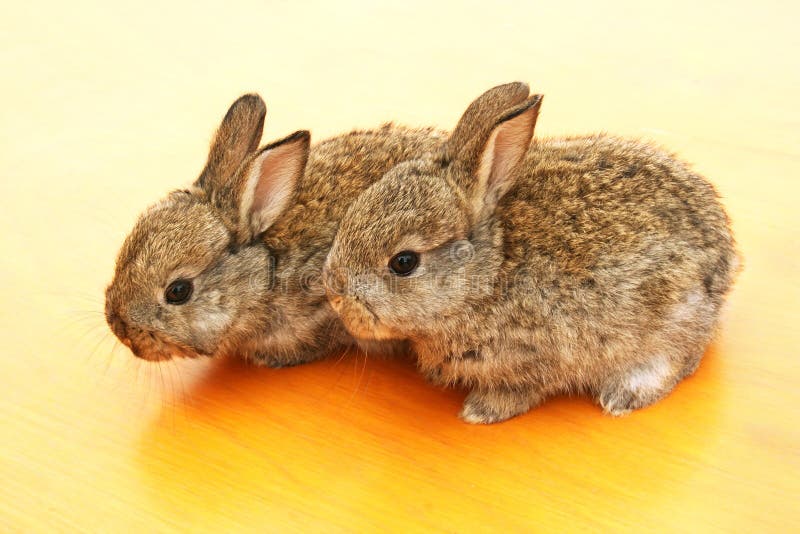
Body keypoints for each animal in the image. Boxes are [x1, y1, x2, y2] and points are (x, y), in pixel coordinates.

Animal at [323, 85, 740, 424]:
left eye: (404, 262)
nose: (335, 294)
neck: (489, 271)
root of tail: (726, 256)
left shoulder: (536, 358)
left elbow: (521, 390)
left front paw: (480, 412)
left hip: (671, 318)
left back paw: (622, 398)